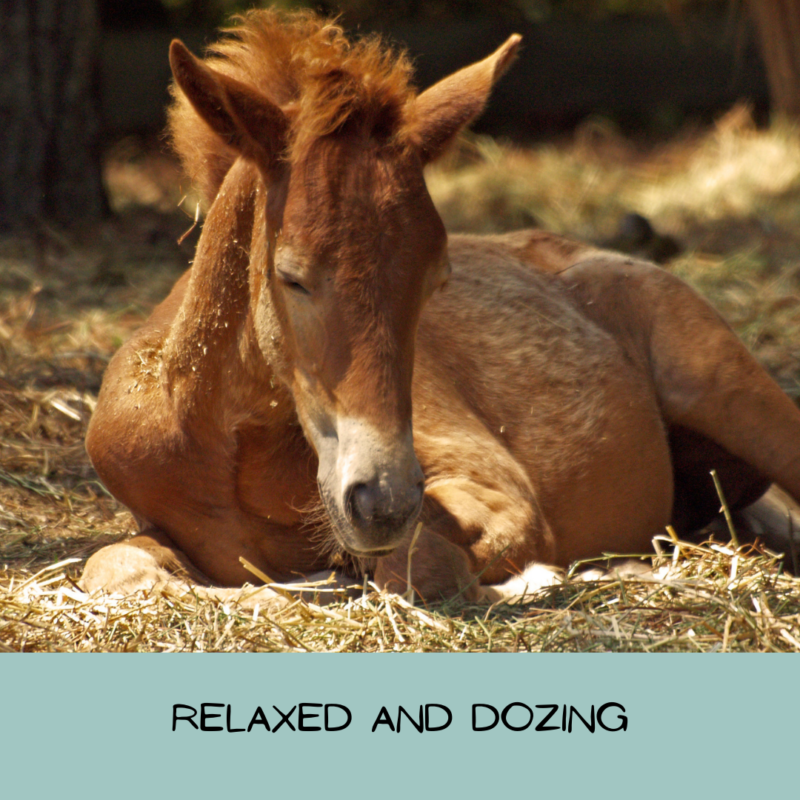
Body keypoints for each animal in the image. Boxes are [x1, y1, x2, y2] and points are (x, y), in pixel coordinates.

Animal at [83, 9, 800, 606]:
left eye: (437, 277)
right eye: (291, 276)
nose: (383, 502)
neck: (226, 448)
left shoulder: (498, 493)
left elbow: (417, 565)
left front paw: (536, 578)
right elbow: (113, 568)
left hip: (730, 393)